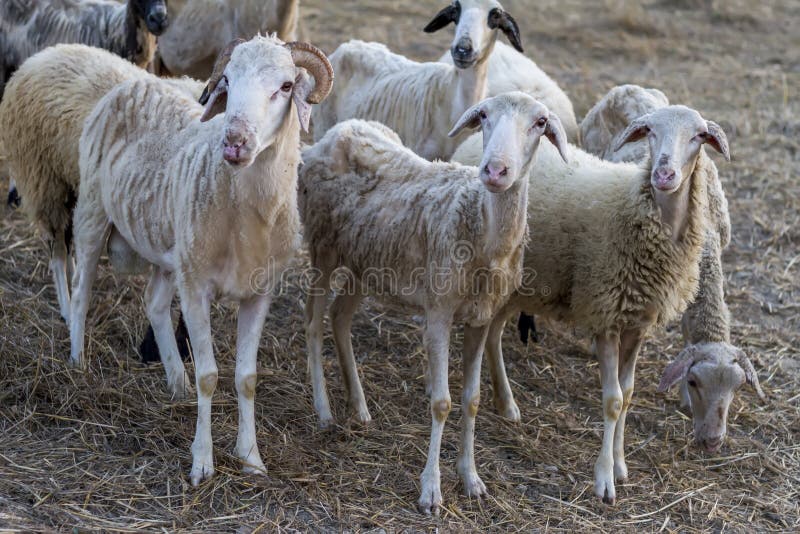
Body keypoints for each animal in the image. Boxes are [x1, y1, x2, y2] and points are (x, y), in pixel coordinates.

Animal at [0, 44, 204, 327]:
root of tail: (37, 58)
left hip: (72, 185)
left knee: (69, 241)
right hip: (44, 181)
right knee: (57, 251)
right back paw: (66, 307)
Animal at [70, 35, 333, 485]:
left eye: (285, 86)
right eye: (227, 79)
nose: (234, 141)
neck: (246, 215)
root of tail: (138, 81)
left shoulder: (259, 293)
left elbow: (247, 378)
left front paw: (251, 459)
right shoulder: (196, 288)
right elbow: (209, 376)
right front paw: (202, 462)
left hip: (169, 246)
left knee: (155, 303)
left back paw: (176, 383)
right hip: (91, 207)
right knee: (81, 289)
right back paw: (77, 363)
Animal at [299, 92, 568, 514]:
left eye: (540, 122)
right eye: (484, 115)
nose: (495, 170)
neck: (482, 228)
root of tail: (339, 131)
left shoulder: (480, 319)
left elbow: (472, 400)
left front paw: (471, 478)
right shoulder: (439, 312)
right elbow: (442, 402)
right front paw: (431, 489)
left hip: (365, 259)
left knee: (340, 317)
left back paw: (359, 408)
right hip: (322, 247)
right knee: (313, 324)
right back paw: (324, 411)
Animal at [452, 104, 732, 504]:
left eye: (697, 136)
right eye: (651, 132)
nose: (664, 174)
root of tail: (473, 142)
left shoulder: (637, 323)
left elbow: (627, 395)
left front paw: (621, 465)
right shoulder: (606, 316)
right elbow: (612, 400)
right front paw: (604, 480)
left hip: (520, 285)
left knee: (493, 336)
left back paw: (506, 404)